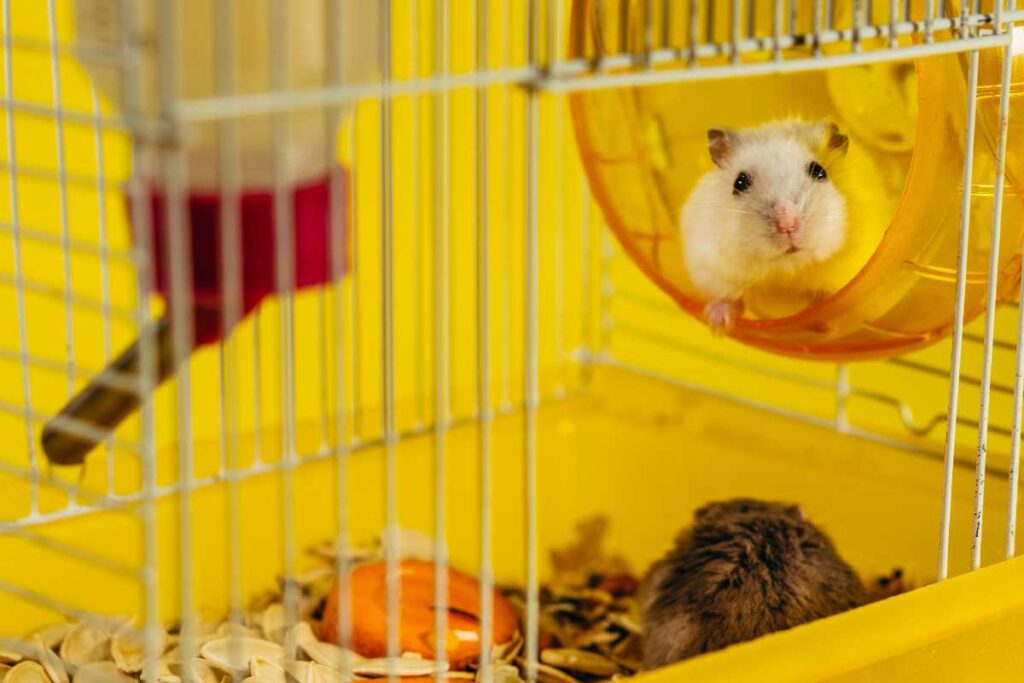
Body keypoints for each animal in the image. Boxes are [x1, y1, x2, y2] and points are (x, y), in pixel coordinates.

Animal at [681, 120, 878, 330]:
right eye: (739, 182)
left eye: (819, 171)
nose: (787, 224)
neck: (787, 267)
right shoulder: (708, 265)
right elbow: (729, 296)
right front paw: (716, 323)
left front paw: (825, 314)